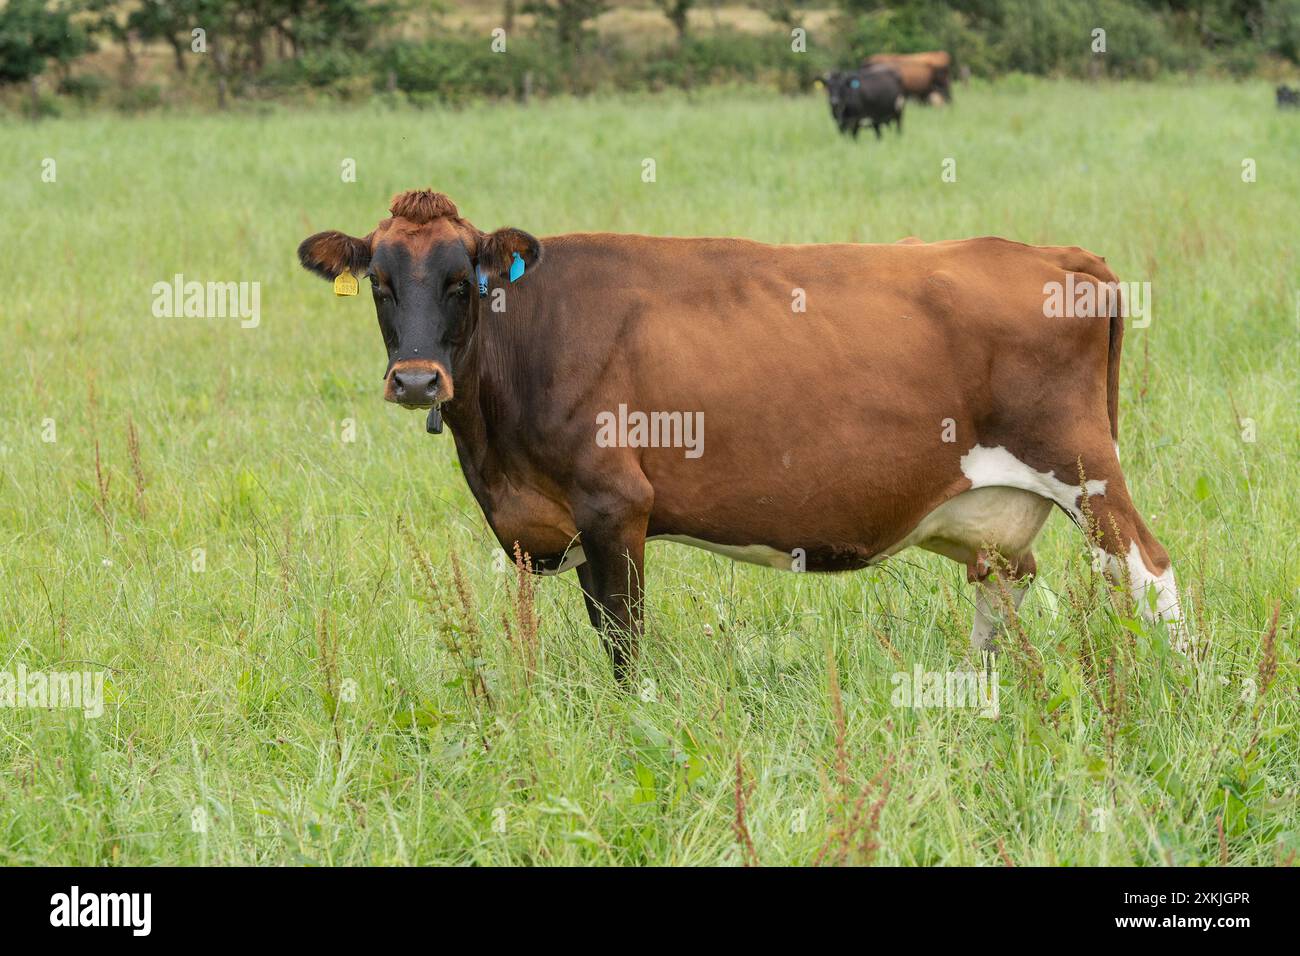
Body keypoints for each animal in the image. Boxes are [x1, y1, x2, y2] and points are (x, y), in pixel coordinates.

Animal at [297, 190, 1187, 683]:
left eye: (463, 283)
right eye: (380, 283)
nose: (417, 381)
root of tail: (1056, 253)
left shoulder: (615, 504)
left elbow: (623, 641)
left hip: (1084, 467)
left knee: (1148, 571)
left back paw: (1185, 687)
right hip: (995, 505)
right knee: (1002, 586)